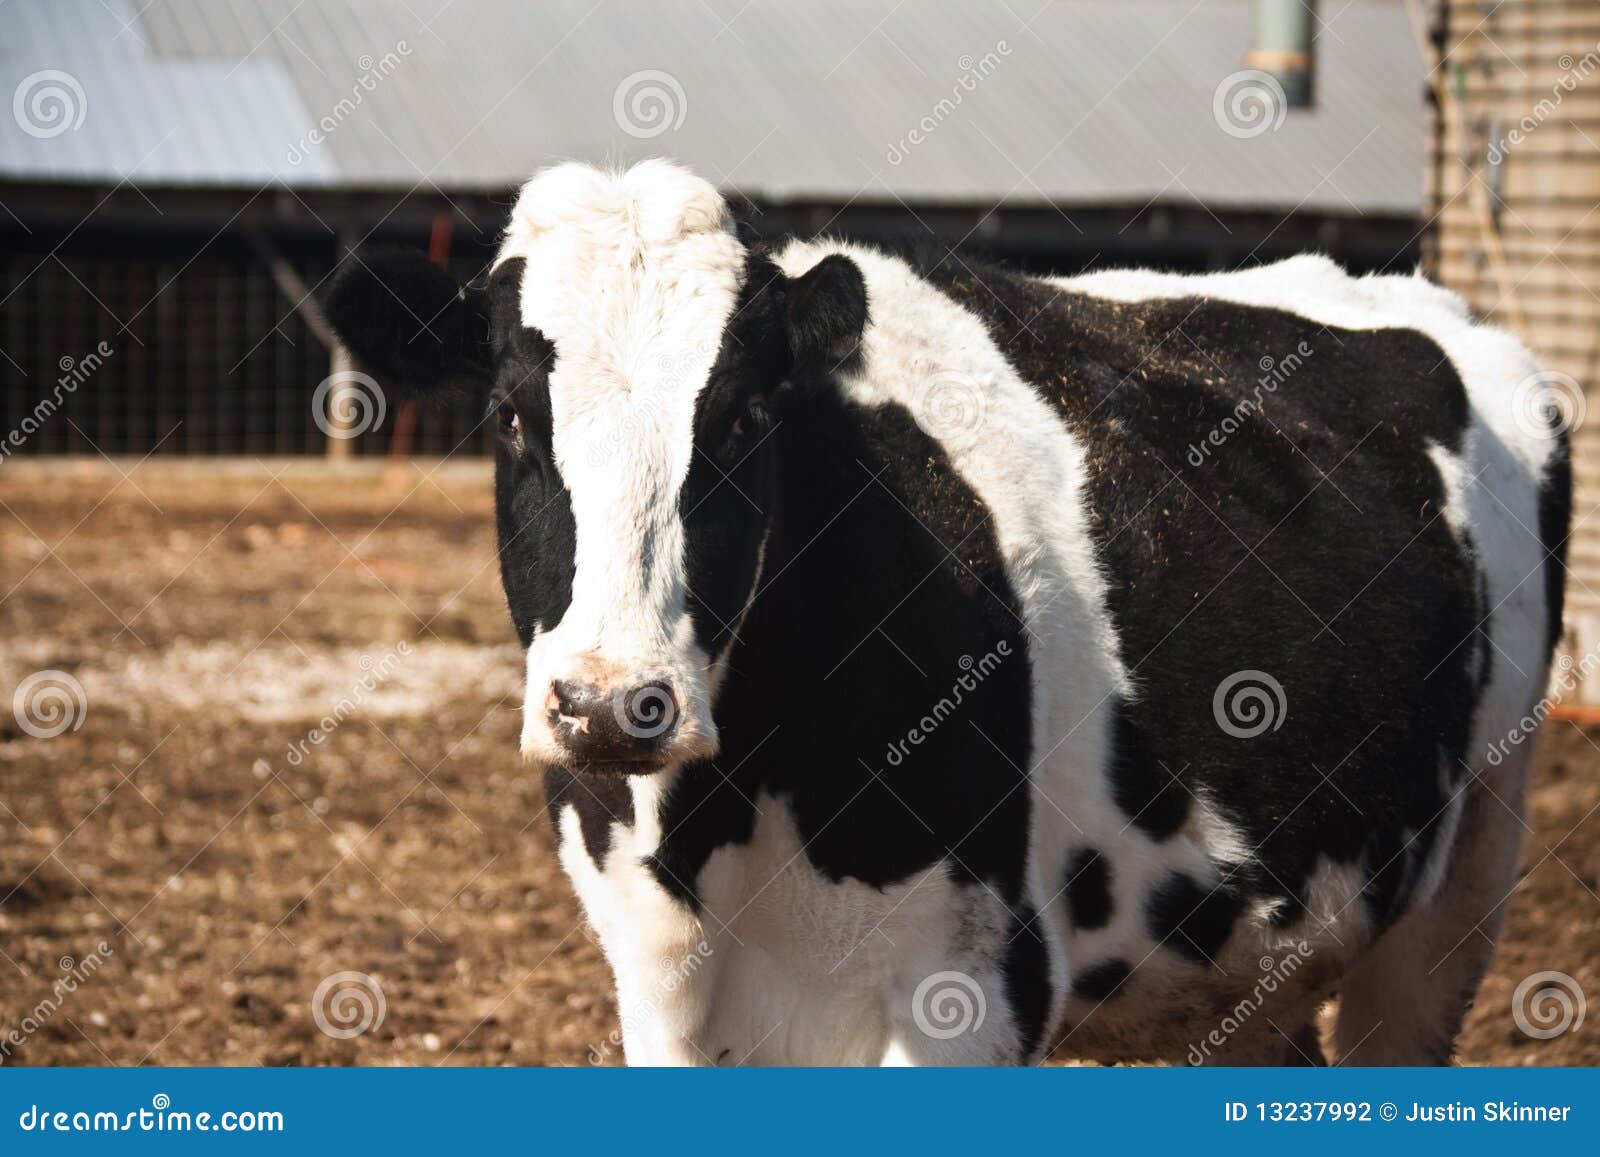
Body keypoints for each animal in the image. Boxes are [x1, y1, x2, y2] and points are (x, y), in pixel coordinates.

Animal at [325, 160, 1570, 1066]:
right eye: (508, 414)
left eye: (740, 418)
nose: (609, 703)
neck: (724, 823)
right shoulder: (659, 978)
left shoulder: (973, 984)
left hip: (1462, 880)